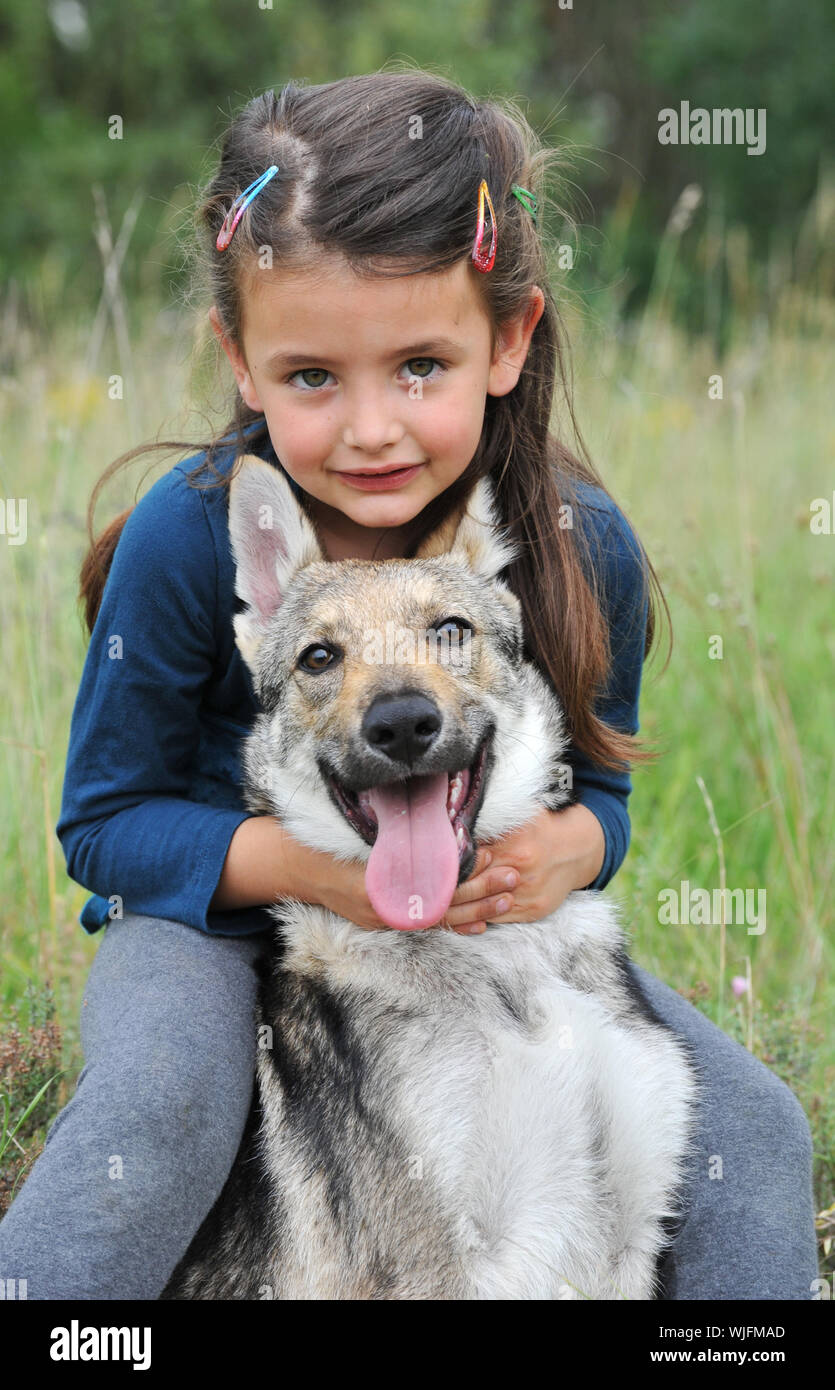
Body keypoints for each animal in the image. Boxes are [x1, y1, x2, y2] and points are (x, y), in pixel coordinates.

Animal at [162, 455, 698, 1301]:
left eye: (449, 631)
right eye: (320, 657)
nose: (402, 723)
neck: (498, 967)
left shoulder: (628, 1238)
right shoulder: (430, 1261)